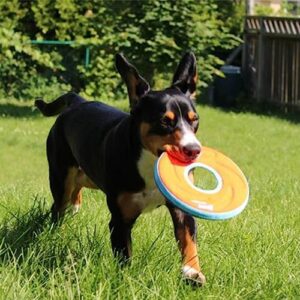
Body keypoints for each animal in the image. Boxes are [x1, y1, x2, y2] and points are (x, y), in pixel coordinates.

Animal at [35, 52, 206, 286]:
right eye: (164, 121)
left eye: (194, 120)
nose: (194, 150)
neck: (151, 166)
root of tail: (78, 101)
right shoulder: (120, 221)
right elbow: (125, 257)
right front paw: (125, 281)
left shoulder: (181, 208)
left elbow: (188, 241)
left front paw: (192, 272)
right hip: (61, 176)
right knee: (58, 206)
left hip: (87, 175)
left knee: (77, 188)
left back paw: (75, 206)